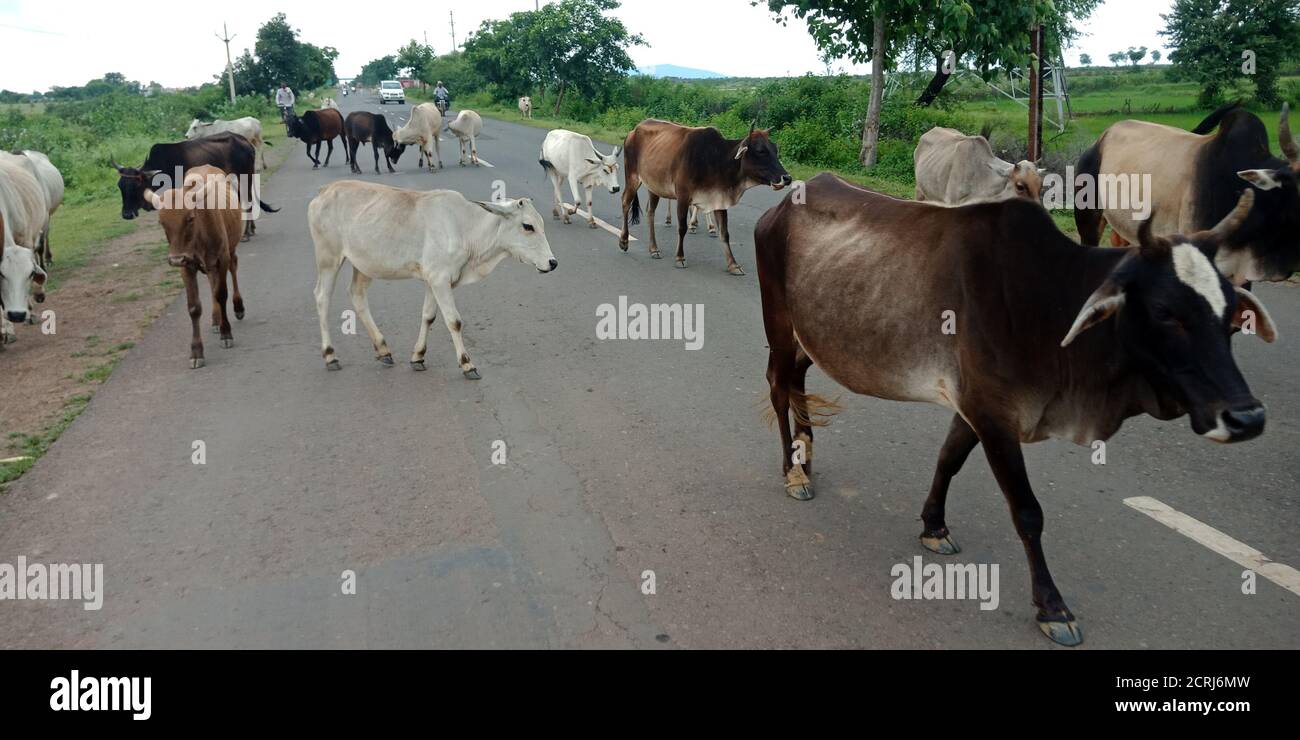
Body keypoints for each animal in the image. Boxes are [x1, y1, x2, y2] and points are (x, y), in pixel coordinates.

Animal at [112, 132, 278, 241]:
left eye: (136, 186)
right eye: (120, 186)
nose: (126, 214)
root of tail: (245, 141)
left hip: (244, 176)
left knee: (247, 201)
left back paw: (246, 234)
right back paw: (251, 230)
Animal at [144, 165, 245, 369]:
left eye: (190, 218)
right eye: (161, 222)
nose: (175, 259)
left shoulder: (221, 258)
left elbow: (221, 294)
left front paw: (226, 333)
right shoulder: (186, 266)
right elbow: (194, 307)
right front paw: (196, 350)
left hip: (230, 250)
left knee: (233, 268)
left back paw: (238, 308)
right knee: (212, 282)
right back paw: (215, 319)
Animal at [309, 181, 557, 378]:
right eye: (528, 226)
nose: (552, 262)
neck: (465, 228)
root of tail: (324, 190)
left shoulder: (433, 280)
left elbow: (429, 316)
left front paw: (418, 357)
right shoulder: (439, 279)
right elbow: (454, 321)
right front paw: (467, 364)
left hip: (364, 265)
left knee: (357, 295)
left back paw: (383, 350)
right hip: (328, 259)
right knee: (322, 297)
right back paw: (330, 355)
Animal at [619, 119, 792, 276]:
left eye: (775, 150)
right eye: (761, 150)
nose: (787, 178)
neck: (715, 160)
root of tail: (633, 130)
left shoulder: (719, 200)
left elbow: (725, 234)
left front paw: (733, 265)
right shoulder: (683, 196)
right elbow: (682, 228)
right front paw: (680, 257)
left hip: (654, 186)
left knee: (650, 211)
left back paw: (654, 249)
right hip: (633, 177)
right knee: (626, 202)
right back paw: (624, 241)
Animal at [755, 172, 1275, 646]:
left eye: (1230, 314)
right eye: (1167, 312)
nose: (1247, 417)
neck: (1047, 304)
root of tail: (780, 206)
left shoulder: (976, 407)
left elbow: (948, 459)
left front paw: (933, 525)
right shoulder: (992, 414)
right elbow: (1027, 512)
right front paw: (1053, 608)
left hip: (812, 337)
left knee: (797, 383)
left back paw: (805, 456)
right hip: (781, 325)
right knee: (780, 388)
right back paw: (793, 471)